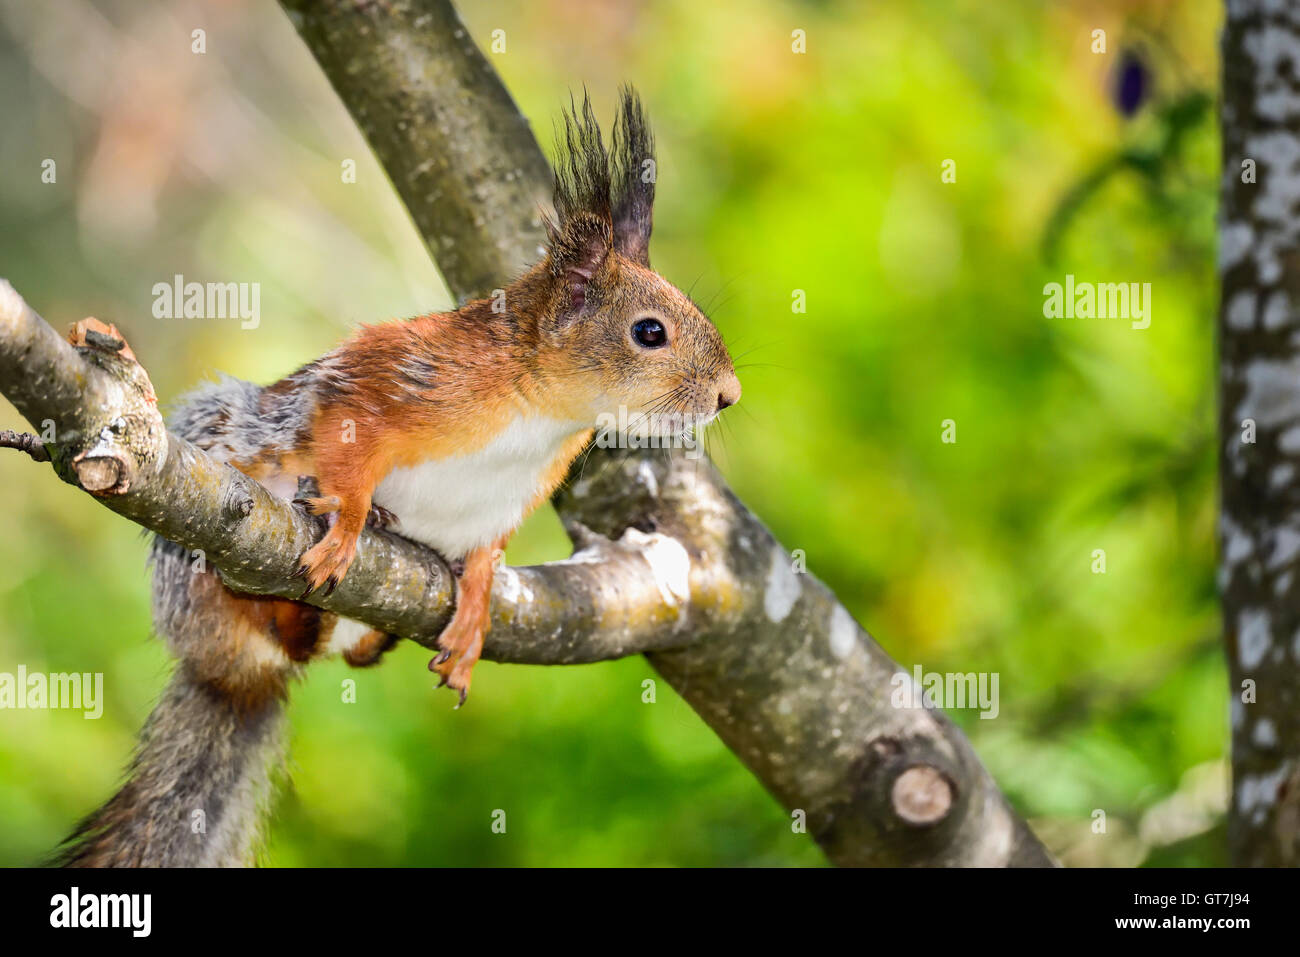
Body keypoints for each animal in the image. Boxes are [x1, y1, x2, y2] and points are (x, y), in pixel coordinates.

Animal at [57, 89, 740, 866]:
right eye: (649, 332)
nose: (729, 394)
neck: (543, 413)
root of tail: (225, 670)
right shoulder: (384, 380)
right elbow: (344, 447)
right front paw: (351, 522)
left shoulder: (514, 496)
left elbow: (488, 550)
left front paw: (475, 607)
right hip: (203, 537)